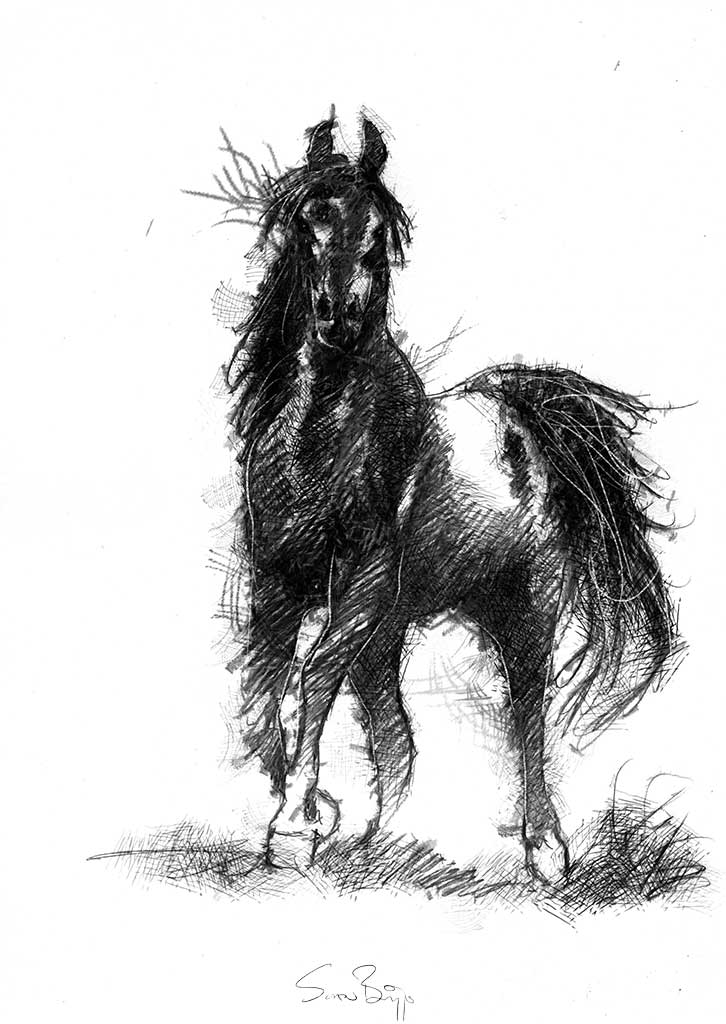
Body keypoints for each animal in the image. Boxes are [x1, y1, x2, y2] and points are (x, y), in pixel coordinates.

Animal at [193, 111, 682, 883]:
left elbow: (310, 679)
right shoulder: (278, 580)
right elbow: (265, 688)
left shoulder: (361, 583)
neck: (323, 439)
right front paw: (308, 813)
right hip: (389, 631)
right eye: (308, 222)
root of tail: (519, 413)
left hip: (521, 609)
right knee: (396, 739)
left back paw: (545, 848)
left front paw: (298, 823)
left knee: (527, 716)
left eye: (379, 231)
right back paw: (376, 840)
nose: (338, 319)